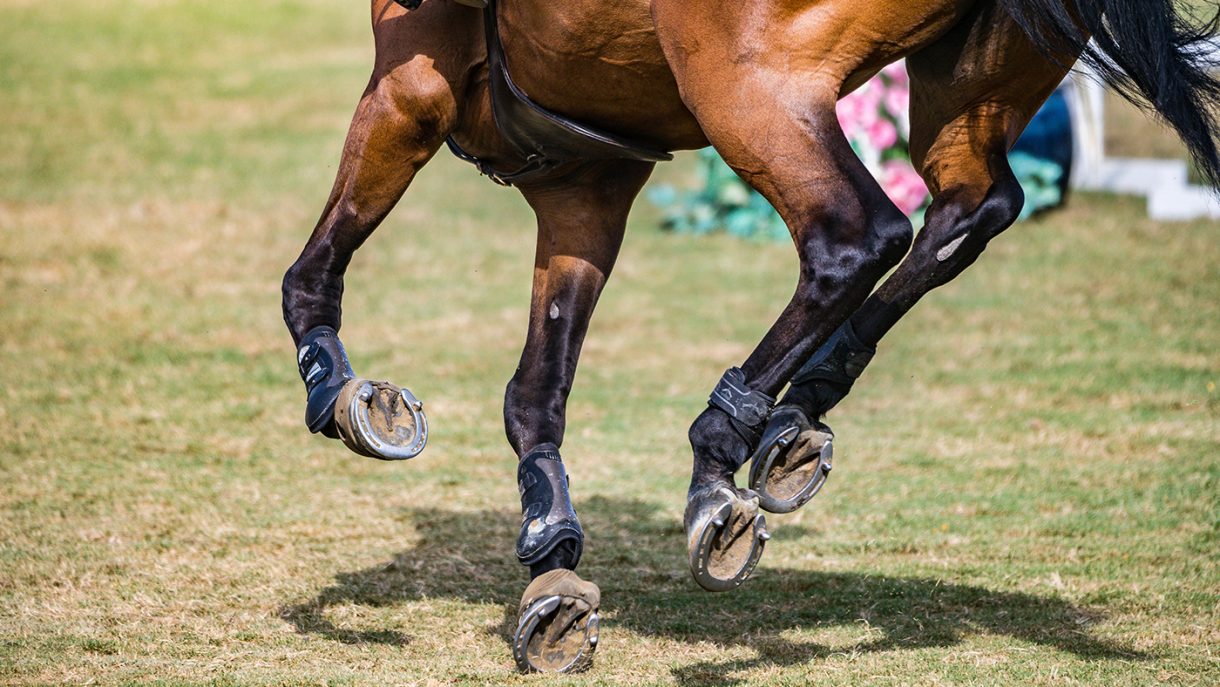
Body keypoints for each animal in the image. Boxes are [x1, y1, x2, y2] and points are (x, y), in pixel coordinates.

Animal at [280, 0, 1220, 673]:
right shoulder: (589, 179)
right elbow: (535, 390)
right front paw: (551, 564)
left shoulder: (413, 84)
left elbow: (310, 272)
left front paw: (340, 392)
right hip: (964, 82)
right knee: (971, 207)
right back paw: (798, 413)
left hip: (747, 80)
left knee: (857, 235)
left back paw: (720, 452)